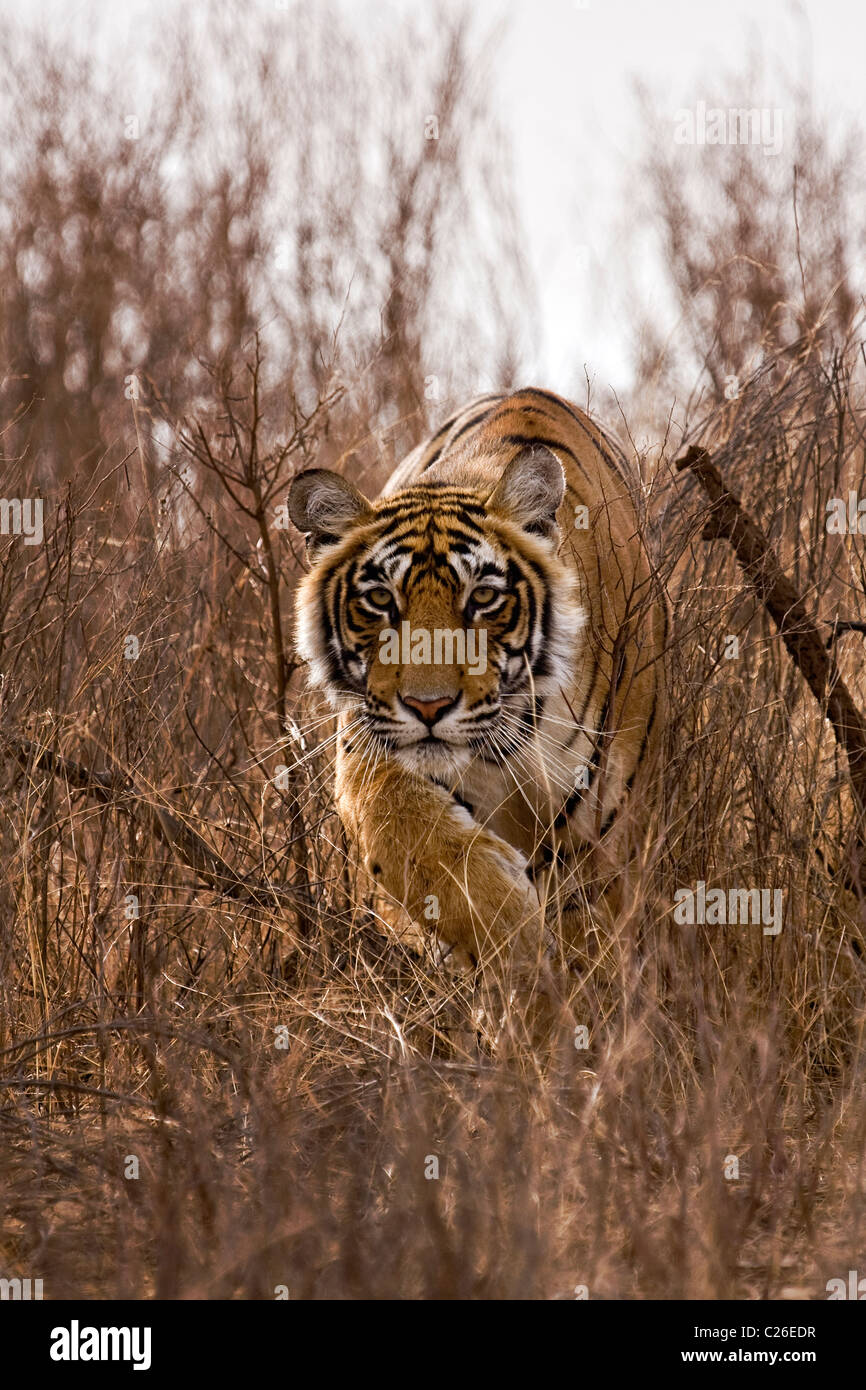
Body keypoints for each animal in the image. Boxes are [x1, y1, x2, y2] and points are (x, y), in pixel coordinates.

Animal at [288, 387, 668, 970]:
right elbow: (419, 844)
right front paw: (515, 939)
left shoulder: (598, 816)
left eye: (484, 597)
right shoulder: (369, 753)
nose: (427, 707)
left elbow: (589, 935)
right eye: (380, 600)